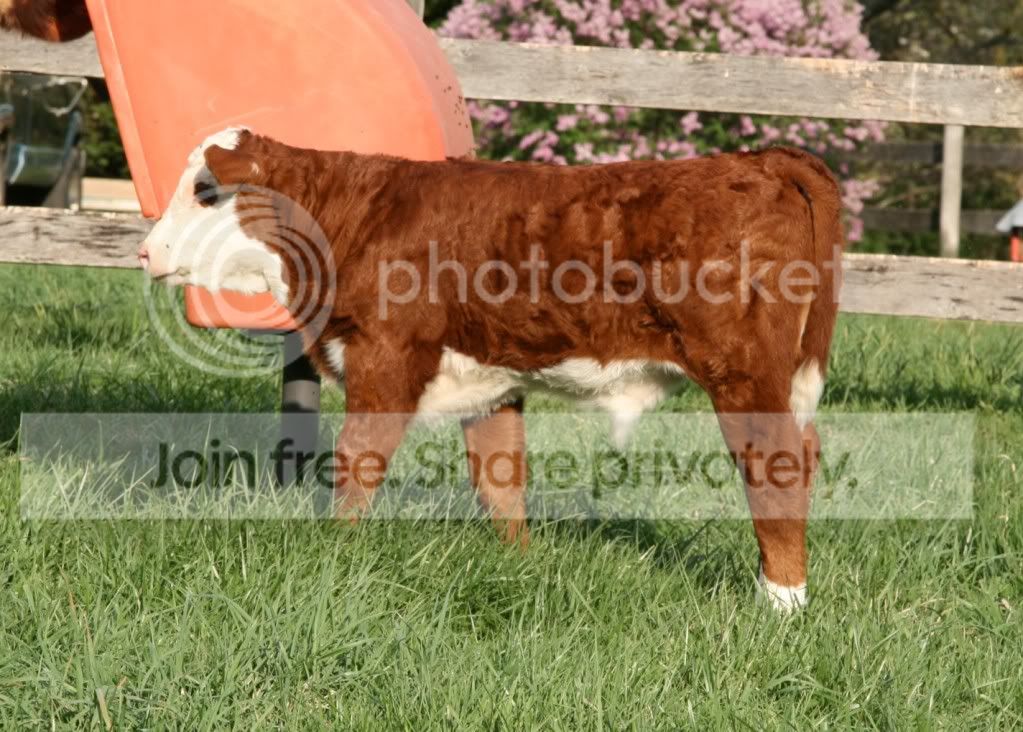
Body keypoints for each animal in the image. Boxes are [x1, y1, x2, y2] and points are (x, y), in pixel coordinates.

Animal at [139, 128, 844, 612]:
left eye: (205, 191)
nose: (145, 251)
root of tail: (761, 160)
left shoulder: (385, 360)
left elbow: (358, 465)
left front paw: (335, 551)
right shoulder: (490, 383)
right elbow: (500, 477)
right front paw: (520, 563)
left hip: (743, 375)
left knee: (776, 466)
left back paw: (781, 603)